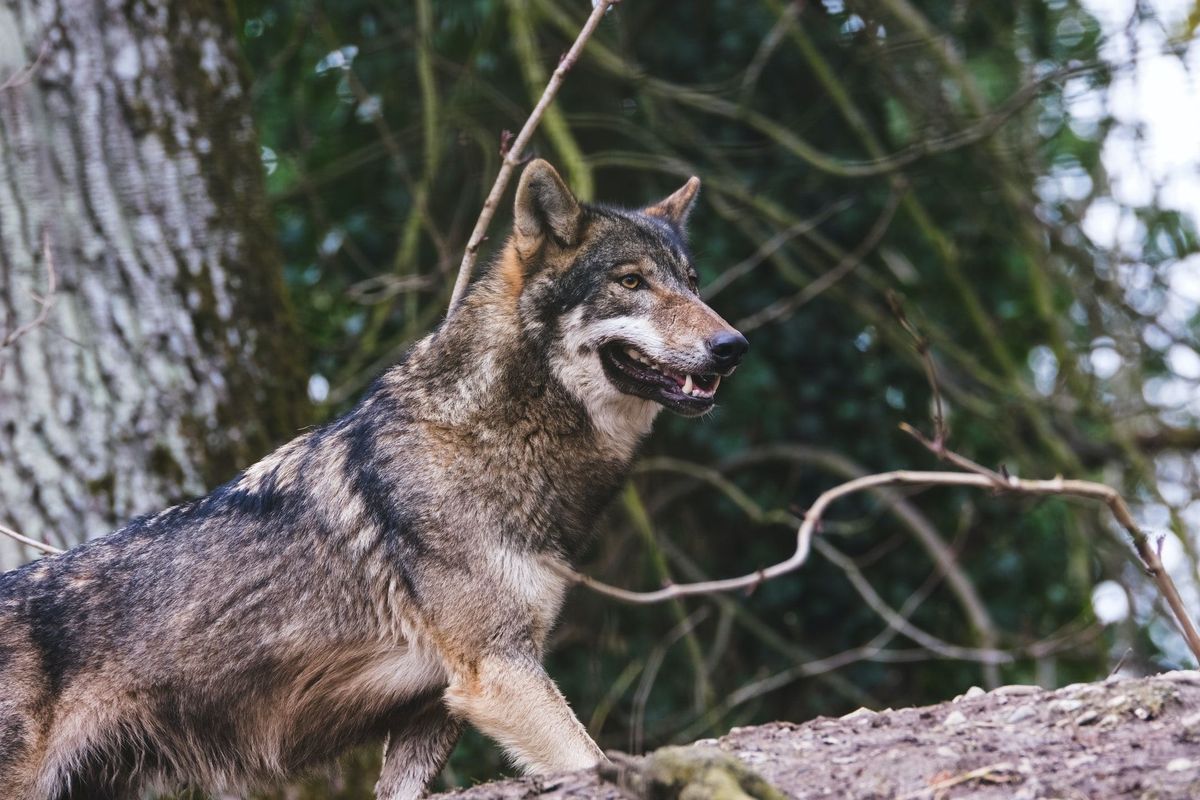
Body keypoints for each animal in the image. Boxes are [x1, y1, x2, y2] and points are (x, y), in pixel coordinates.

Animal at [0, 159, 748, 800]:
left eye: (692, 282)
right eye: (631, 282)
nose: (732, 346)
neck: (495, 435)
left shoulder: (435, 708)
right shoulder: (498, 672)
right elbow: (589, 757)